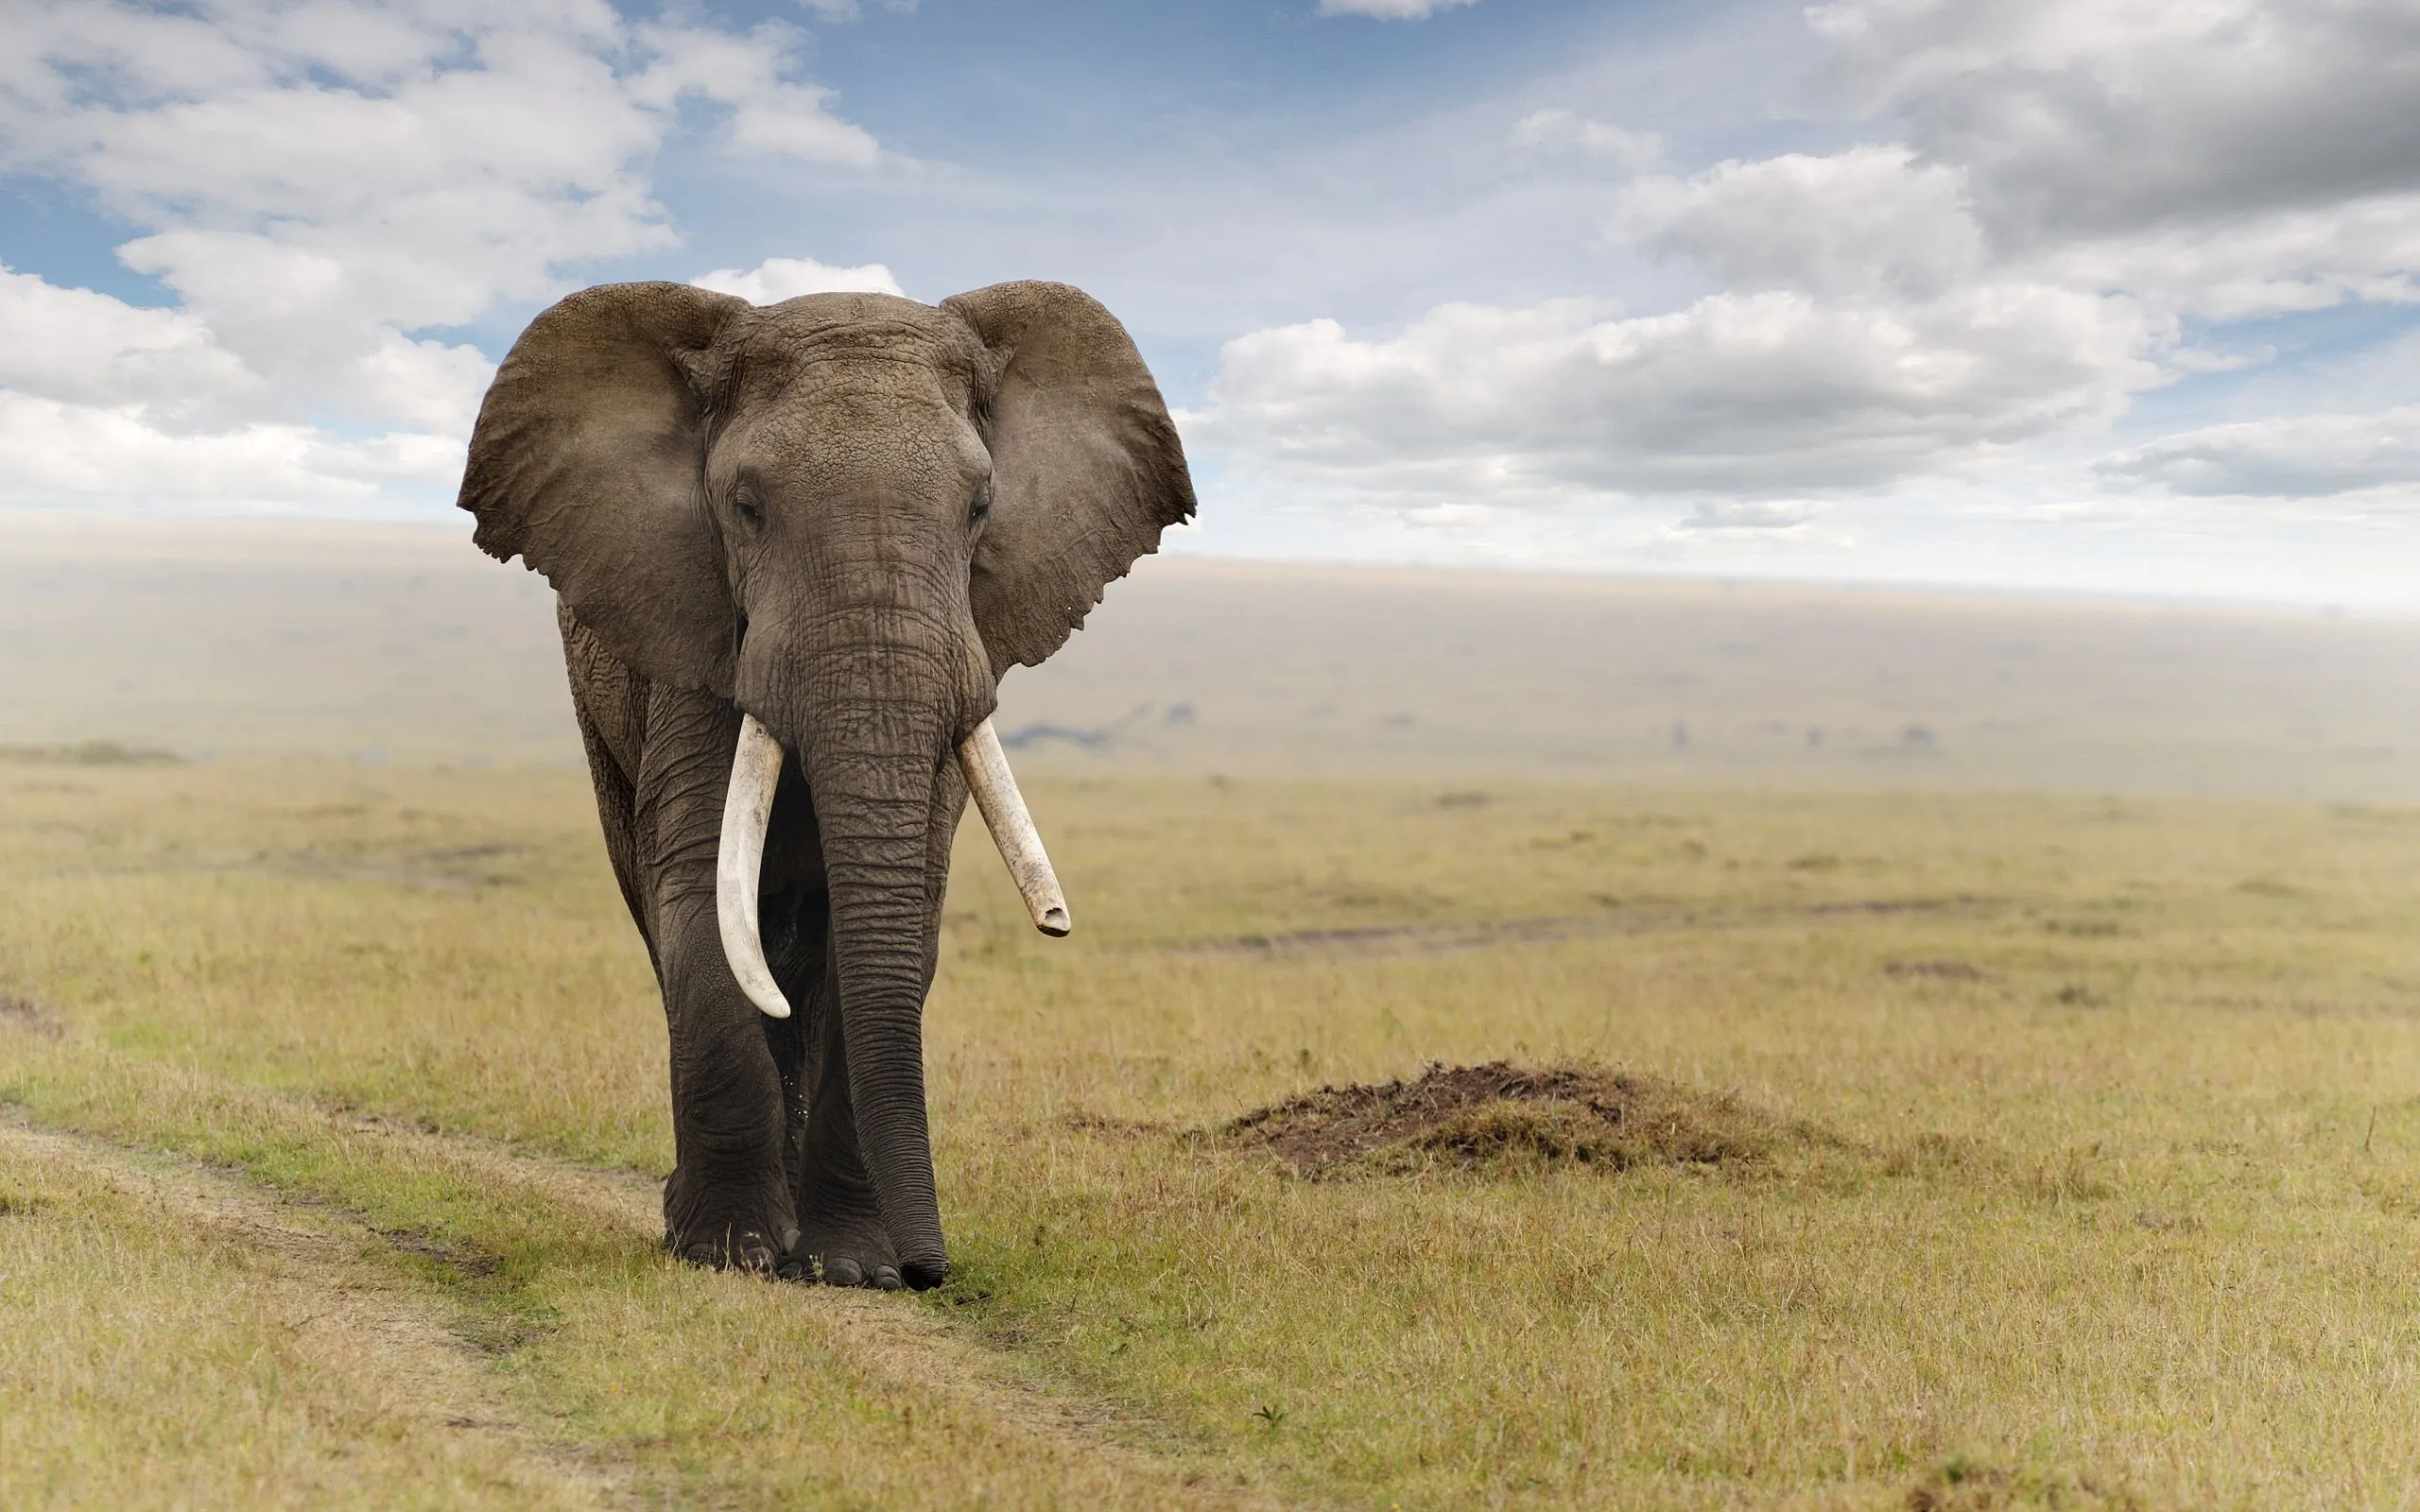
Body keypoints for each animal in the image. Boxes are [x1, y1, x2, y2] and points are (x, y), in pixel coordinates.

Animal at [456, 280, 1195, 1290]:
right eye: (745, 505)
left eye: (981, 507)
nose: (932, 1273)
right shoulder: (694, 639)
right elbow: (703, 898)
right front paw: (727, 1254)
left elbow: (896, 916)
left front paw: (850, 1269)